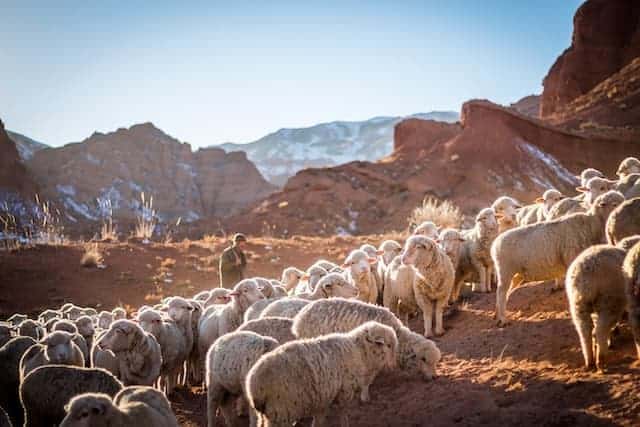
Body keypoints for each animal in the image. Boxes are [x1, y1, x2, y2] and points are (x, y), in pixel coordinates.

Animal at [247, 321, 397, 427]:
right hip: (281, 410)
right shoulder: (345, 391)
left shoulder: (323, 395)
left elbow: (319, 419)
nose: (393, 366)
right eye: (389, 345)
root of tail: (254, 385)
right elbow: (343, 413)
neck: (359, 351)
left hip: (266, 413)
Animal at [493, 190, 626, 326]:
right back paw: (503, 319)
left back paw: (498, 315)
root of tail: (495, 243)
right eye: (614, 204)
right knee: (501, 292)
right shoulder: (572, 258)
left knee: (506, 292)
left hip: (517, 275)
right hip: (505, 270)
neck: (592, 223)